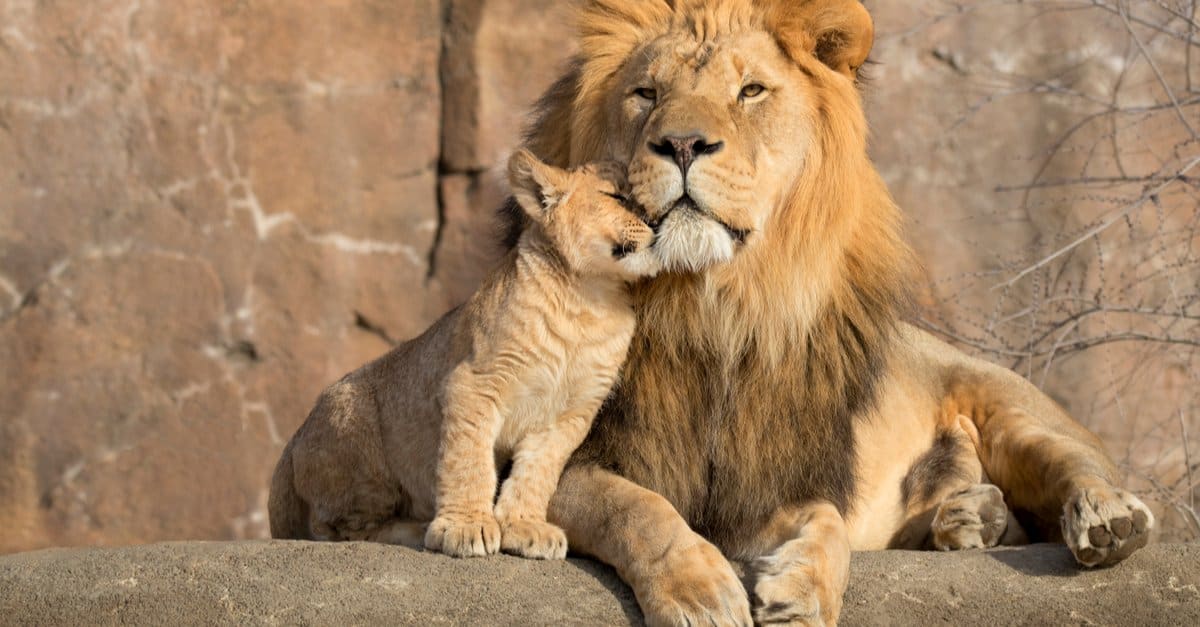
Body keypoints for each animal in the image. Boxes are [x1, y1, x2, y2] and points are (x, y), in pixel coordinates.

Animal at [268, 150, 659, 560]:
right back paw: (416, 528)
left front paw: (525, 526)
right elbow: (469, 461)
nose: (657, 223)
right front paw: (466, 527)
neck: (590, 300)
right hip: (356, 433)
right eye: (616, 197)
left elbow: (537, 473)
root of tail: (292, 441)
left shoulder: (570, 415)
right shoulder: (474, 383)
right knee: (335, 530)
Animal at [505, 1, 1152, 625]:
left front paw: (805, 591)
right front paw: (700, 594)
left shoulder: (772, 478)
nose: (683, 144)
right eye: (646, 93)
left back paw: (1105, 518)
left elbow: (827, 522)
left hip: (1010, 410)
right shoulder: (566, 458)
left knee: (1076, 466)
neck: (712, 308)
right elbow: (638, 508)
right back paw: (970, 518)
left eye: (750, 91)